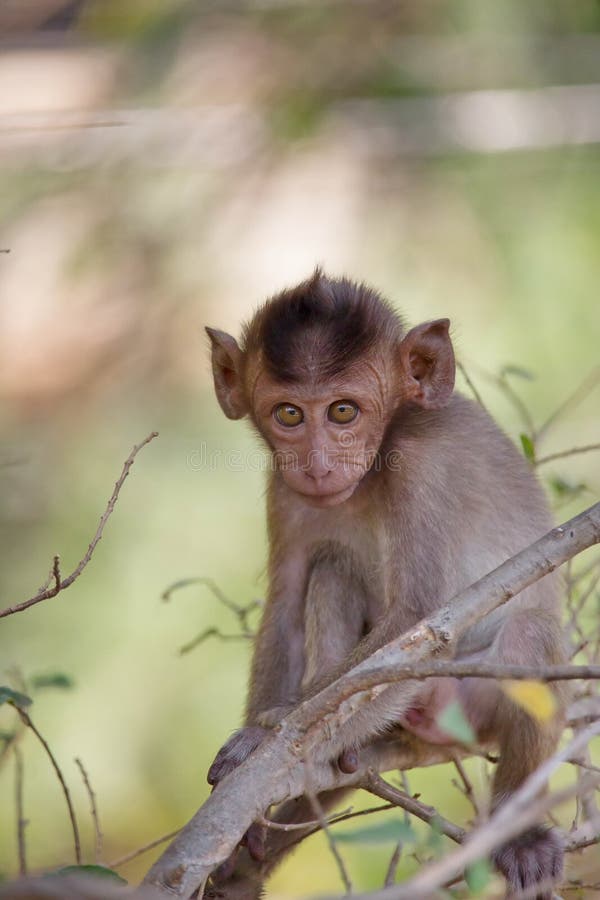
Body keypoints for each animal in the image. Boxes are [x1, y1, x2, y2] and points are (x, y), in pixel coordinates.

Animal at [204, 269, 567, 899]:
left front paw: (257, 746)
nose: (317, 463)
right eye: (290, 415)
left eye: (344, 411)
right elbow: (284, 607)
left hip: (468, 705)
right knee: (331, 570)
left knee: (528, 638)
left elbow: (417, 623)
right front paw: (259, 760)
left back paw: (518, 833)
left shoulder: (421, 467)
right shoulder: (284, 489)